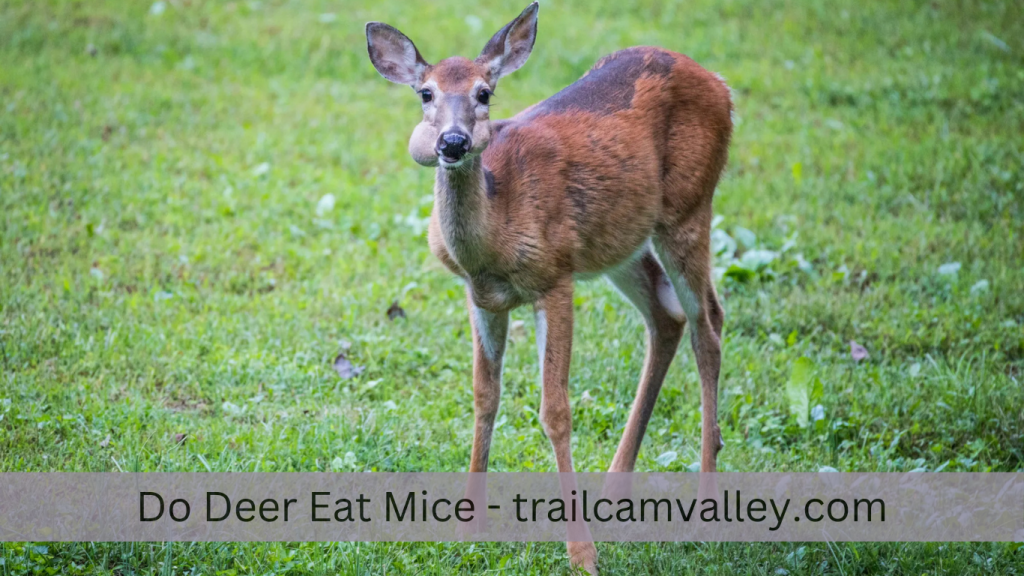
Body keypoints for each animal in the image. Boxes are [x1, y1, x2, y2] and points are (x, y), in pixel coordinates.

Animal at [366, 3, 732, 572]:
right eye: (425, 92)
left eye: (484, 92)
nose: (453, 142)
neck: (495, 233)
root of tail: (720, 83)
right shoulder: (482, 297)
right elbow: (484, 395)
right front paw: (468, 527)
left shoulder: (555, 278)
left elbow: (555, 411)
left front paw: (581, 554)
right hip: (618, 240)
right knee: (665, 315)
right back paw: (613, 487)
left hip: (688, 209)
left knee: (708, 323)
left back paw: (707, 500)